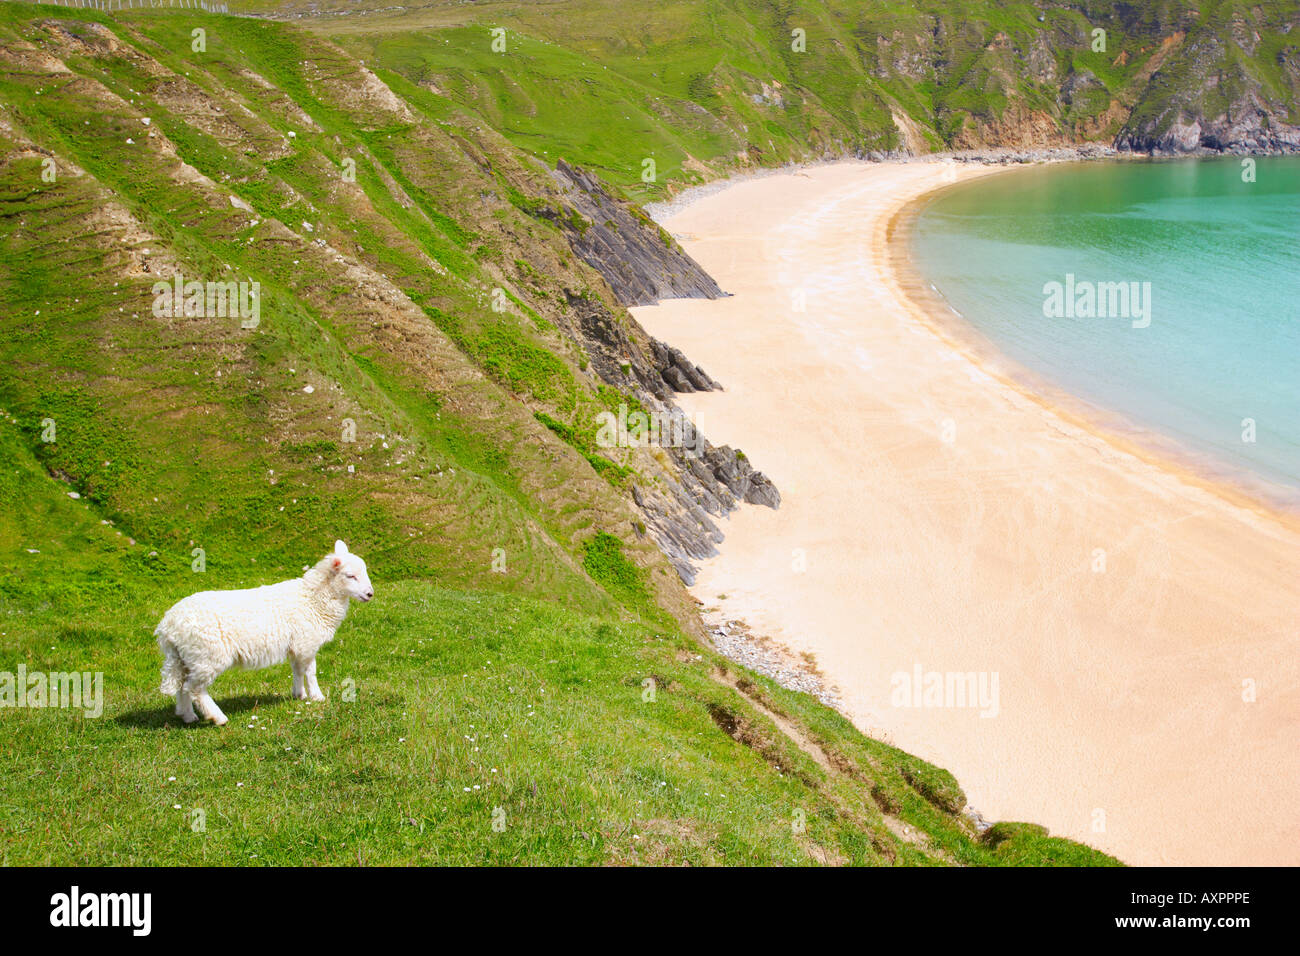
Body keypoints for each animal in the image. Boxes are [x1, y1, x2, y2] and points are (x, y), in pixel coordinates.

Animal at [156, 540, 374, 726]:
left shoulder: (296, 645)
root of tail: (169, 625)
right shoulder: (307, 643)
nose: (370, 594)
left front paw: (299, 695)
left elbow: (297, 670)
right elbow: (310, 671)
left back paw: (188, 716)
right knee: (195, 688)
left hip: (186, 657)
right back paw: (218, 717)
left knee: (182, 686)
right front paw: (317, 696)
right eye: (350, 576)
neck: (313, 599)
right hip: (207, 655)